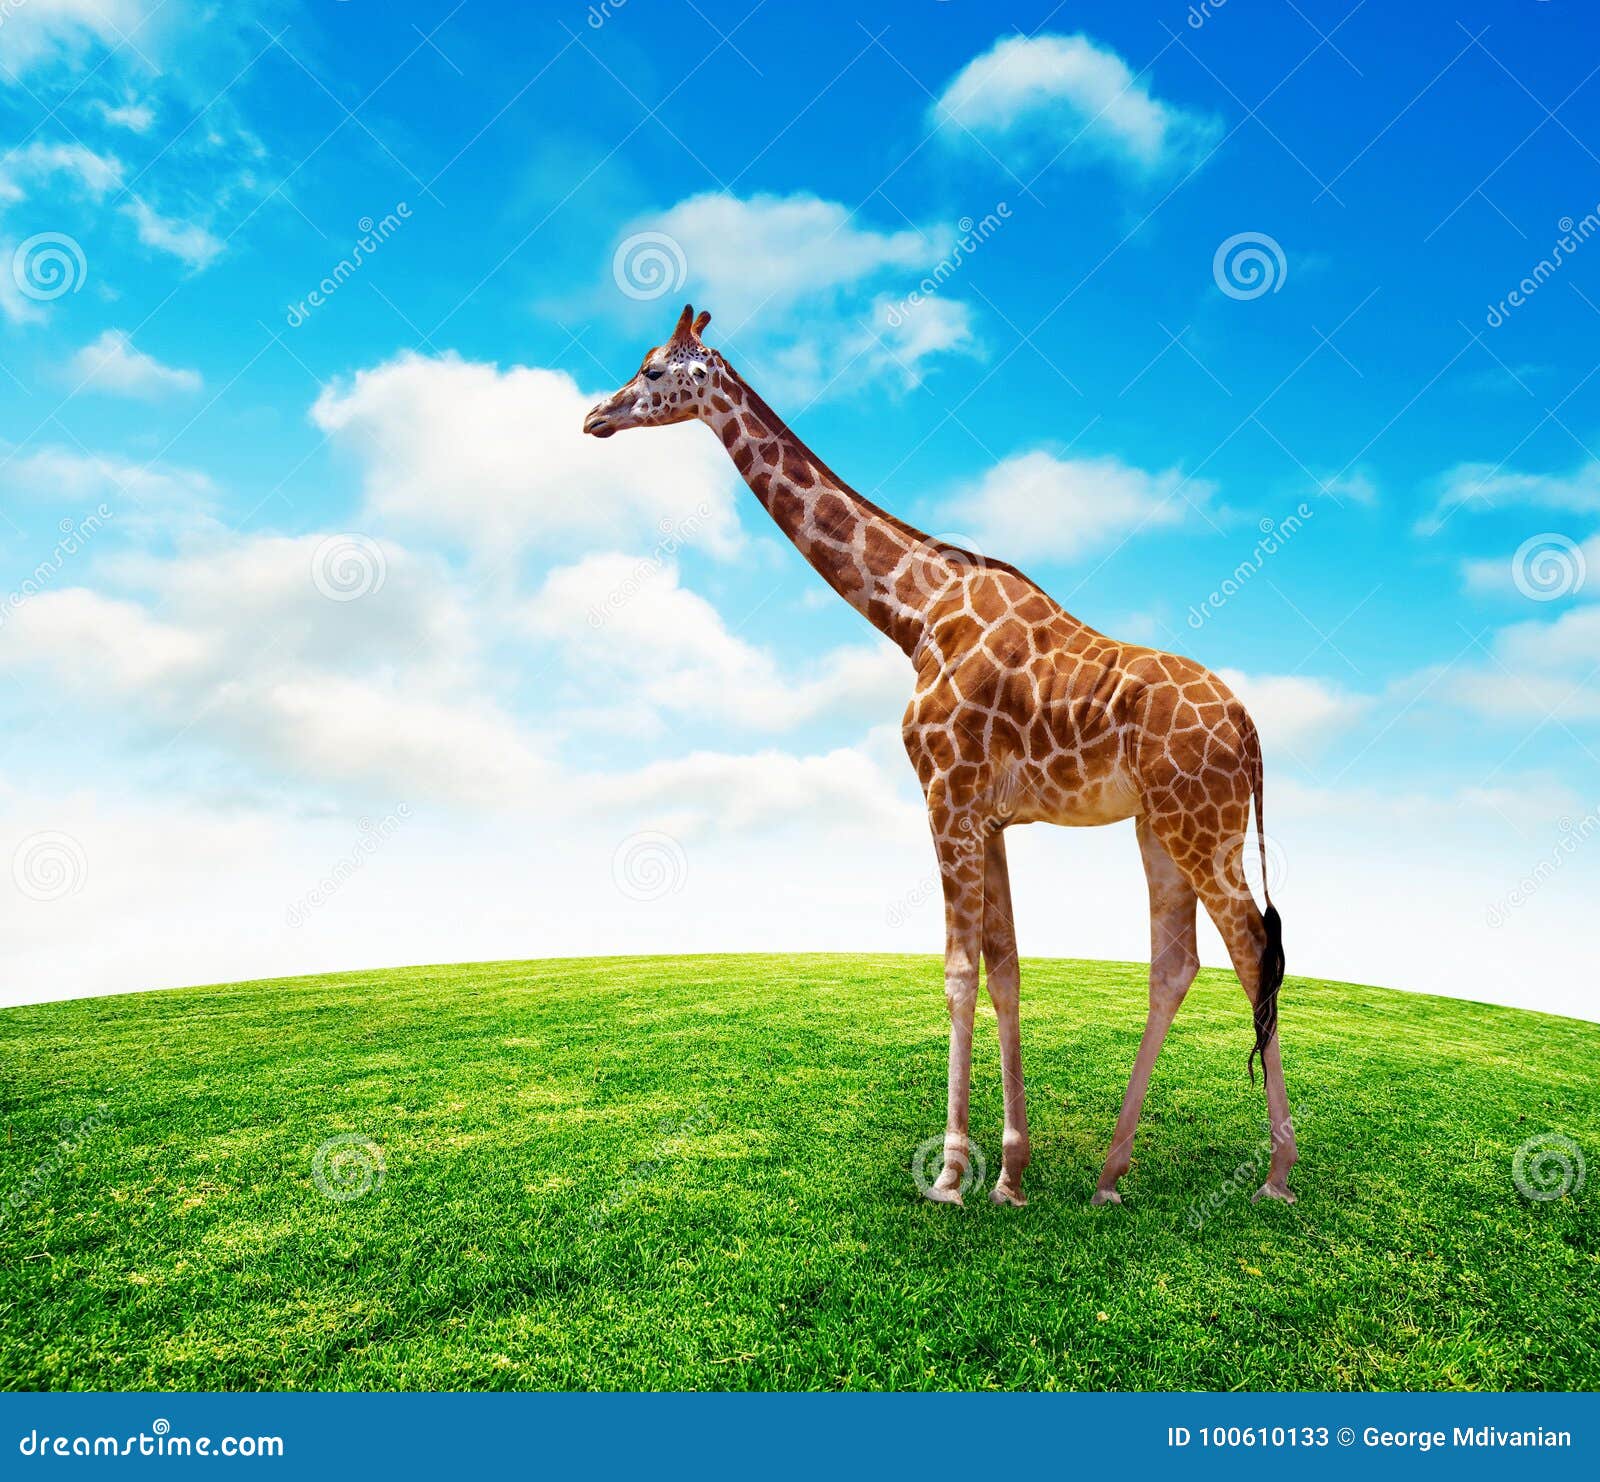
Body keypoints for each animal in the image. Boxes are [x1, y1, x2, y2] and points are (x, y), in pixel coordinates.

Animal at [584, 304, 1296, 1210]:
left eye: (649, 370)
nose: (594, 416)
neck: (914, 613)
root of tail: (1251, 727)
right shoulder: (987, 814)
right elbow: (1006, 969)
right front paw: (1013, 1174)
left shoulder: (945, 795)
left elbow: (959, 969)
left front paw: (953, 1175)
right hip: (1161, 828)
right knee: (1177, 965)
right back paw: (1110, 1173)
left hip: (1204, 824)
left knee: (1254, 951)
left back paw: (1277, 1173)